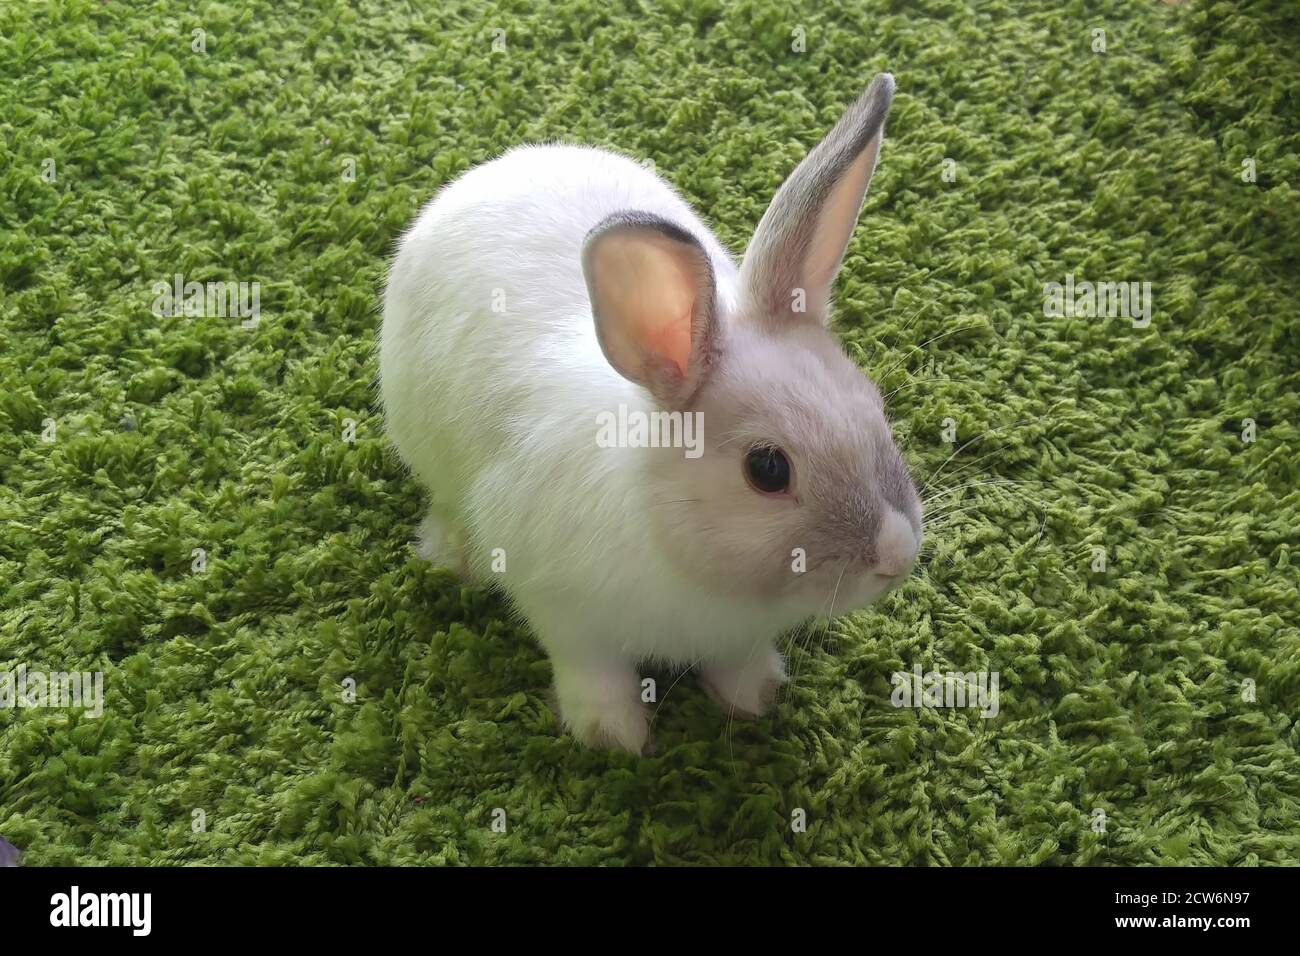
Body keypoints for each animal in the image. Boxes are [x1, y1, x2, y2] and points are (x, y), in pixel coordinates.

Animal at [380, 73, 921, 753]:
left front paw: (756, 696)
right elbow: (592, 669)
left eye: (874, 406)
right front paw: (612, 736)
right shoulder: (562, 610)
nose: (897, 556)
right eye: (767, 469)